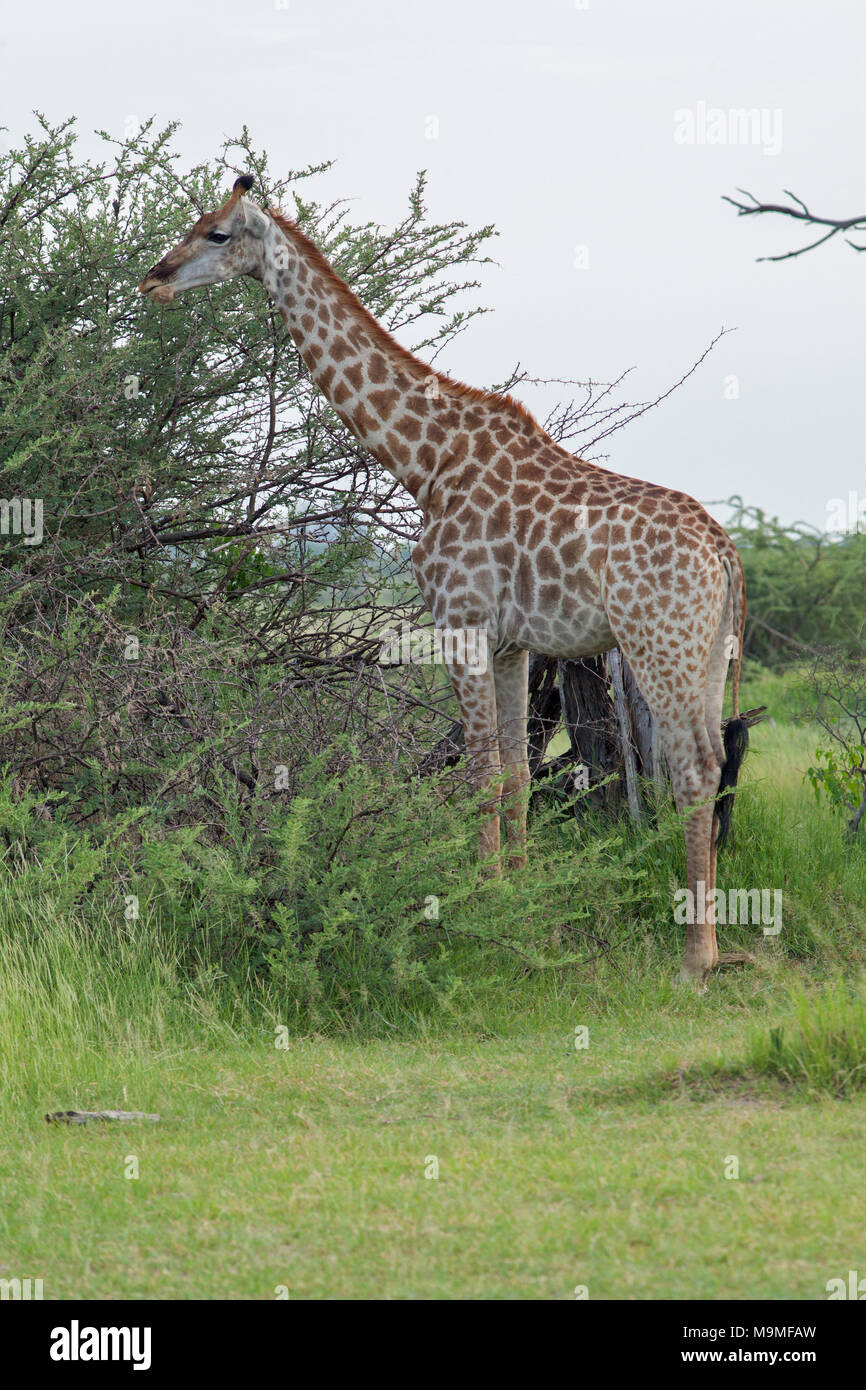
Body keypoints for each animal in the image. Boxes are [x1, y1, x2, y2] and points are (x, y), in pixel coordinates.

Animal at [140, 175, 752, 988]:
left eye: (215, 233)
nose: (154, 277)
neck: (425, 461)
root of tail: (724, 550)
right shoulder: (512, 643)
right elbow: (519, 774)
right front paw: (522, 903)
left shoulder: (460, 620)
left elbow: (481, 772)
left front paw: (482, 913)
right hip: (710, 650)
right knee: (712, 765)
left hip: (659, 643)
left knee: (691, 767)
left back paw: (695, 959)